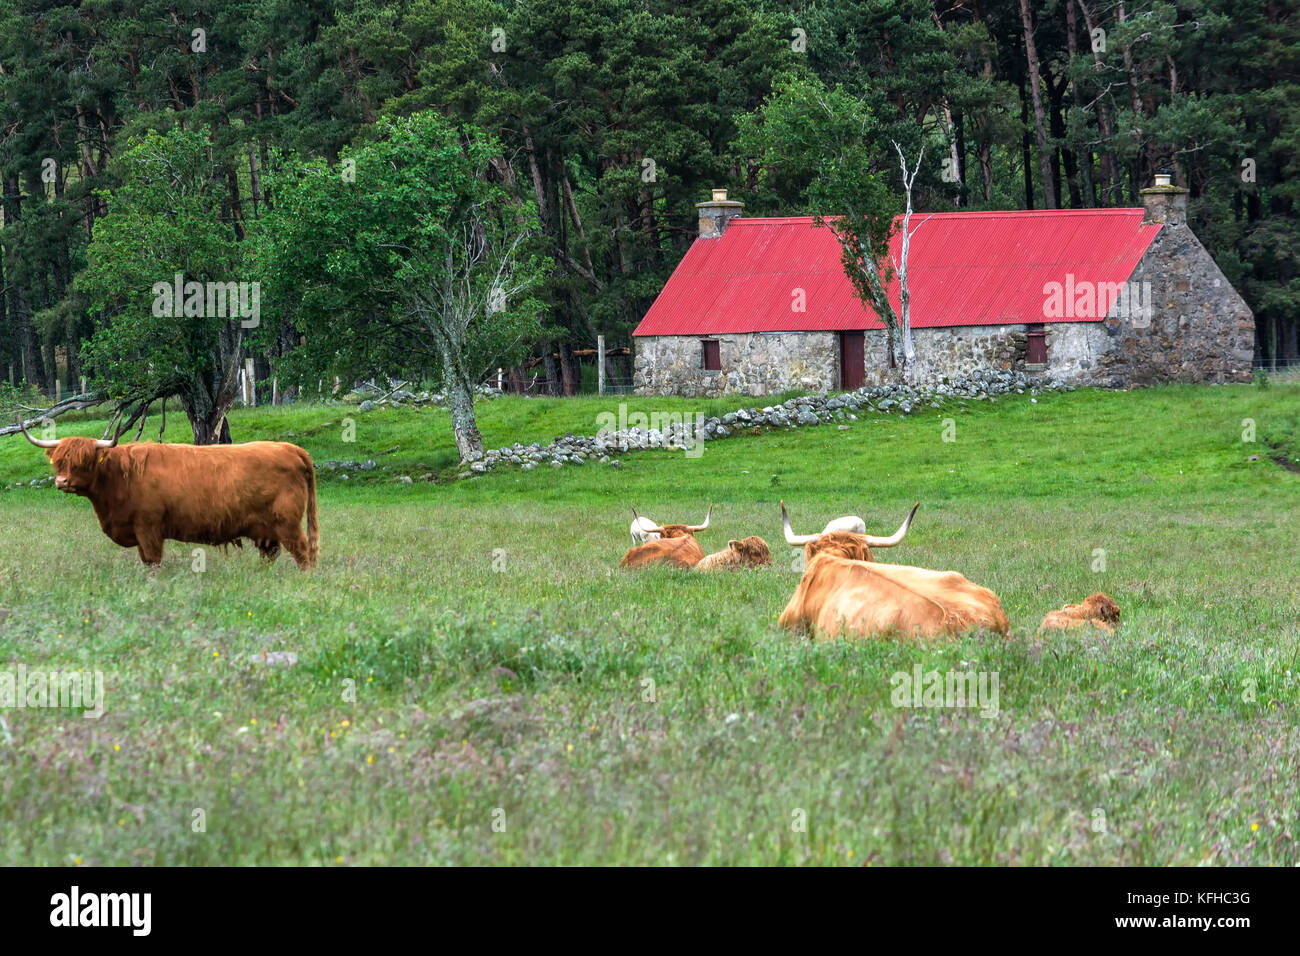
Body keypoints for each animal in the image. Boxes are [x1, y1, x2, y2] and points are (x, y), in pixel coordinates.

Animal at [19, 419, 319, 569]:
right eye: (59, 461)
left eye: (84, 461)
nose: (62, 481)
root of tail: (289, 448)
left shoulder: (148, 528)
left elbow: (153, 561)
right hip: (267, 530)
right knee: (271, 554)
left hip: (287, 523)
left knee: (303, 552)